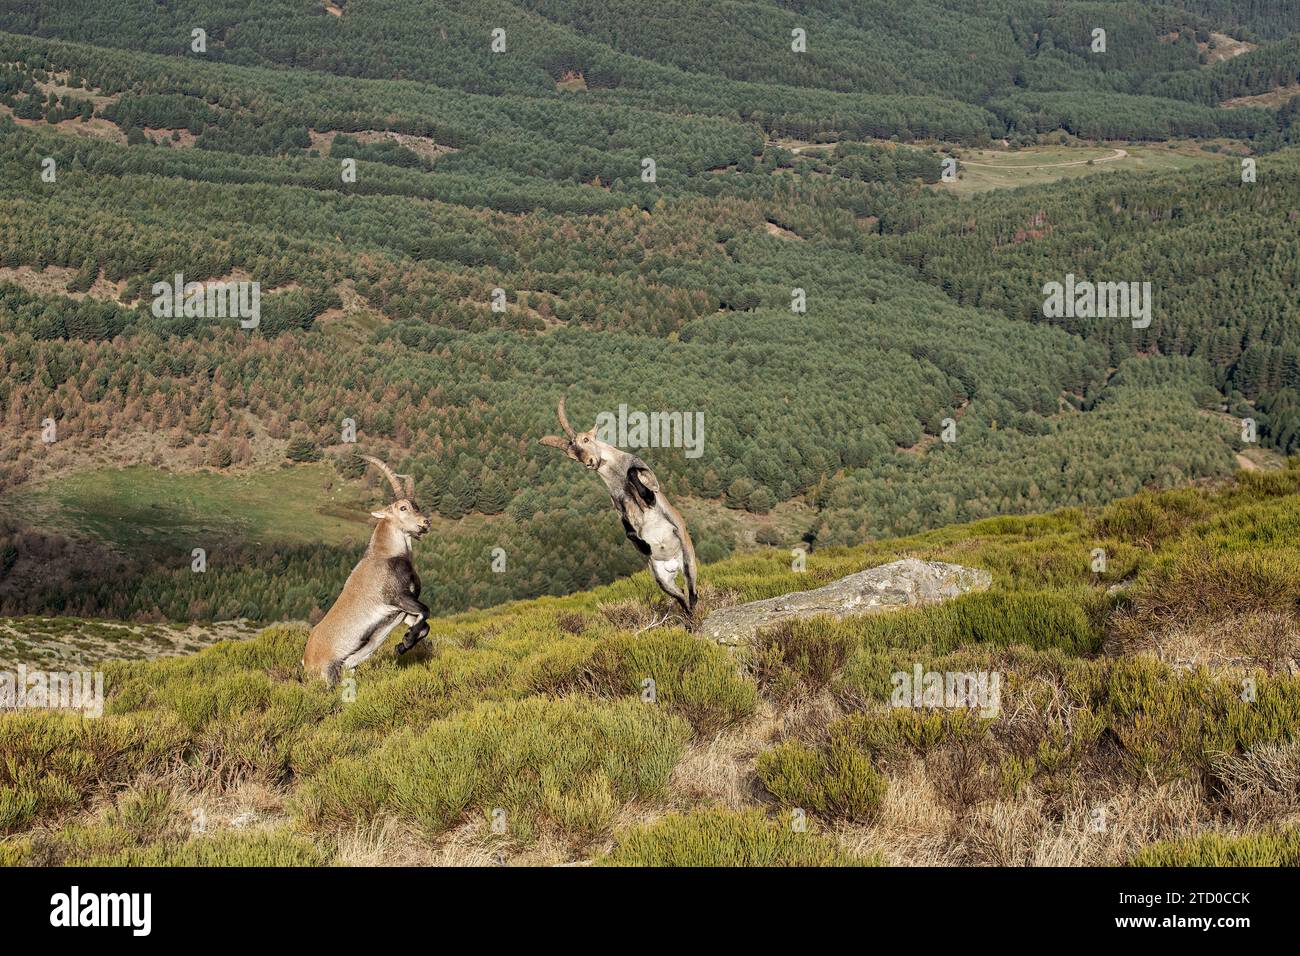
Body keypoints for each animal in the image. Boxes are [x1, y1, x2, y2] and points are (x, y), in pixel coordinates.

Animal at [302, 455, 432, 686]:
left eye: (416, 506)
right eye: (403, 508)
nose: (425, 522)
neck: (384, 554)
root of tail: (306, 661)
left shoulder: (401, 610)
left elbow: (424, 625)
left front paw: (402, 645)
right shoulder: (397, 597)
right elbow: (426, 611)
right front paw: (405, 641)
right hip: (329, 673)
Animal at [539, 395, 699, 617]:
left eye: (586, 440)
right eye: (573, 456)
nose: (590, 462)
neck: (617, 477)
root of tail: (673, 566)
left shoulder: (651, 487)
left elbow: (635, 476)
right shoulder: (619, 509)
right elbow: (630, 532)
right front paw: (645, 546)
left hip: (688, 557)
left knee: (692, 589)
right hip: (661, 579)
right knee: (680, 596)